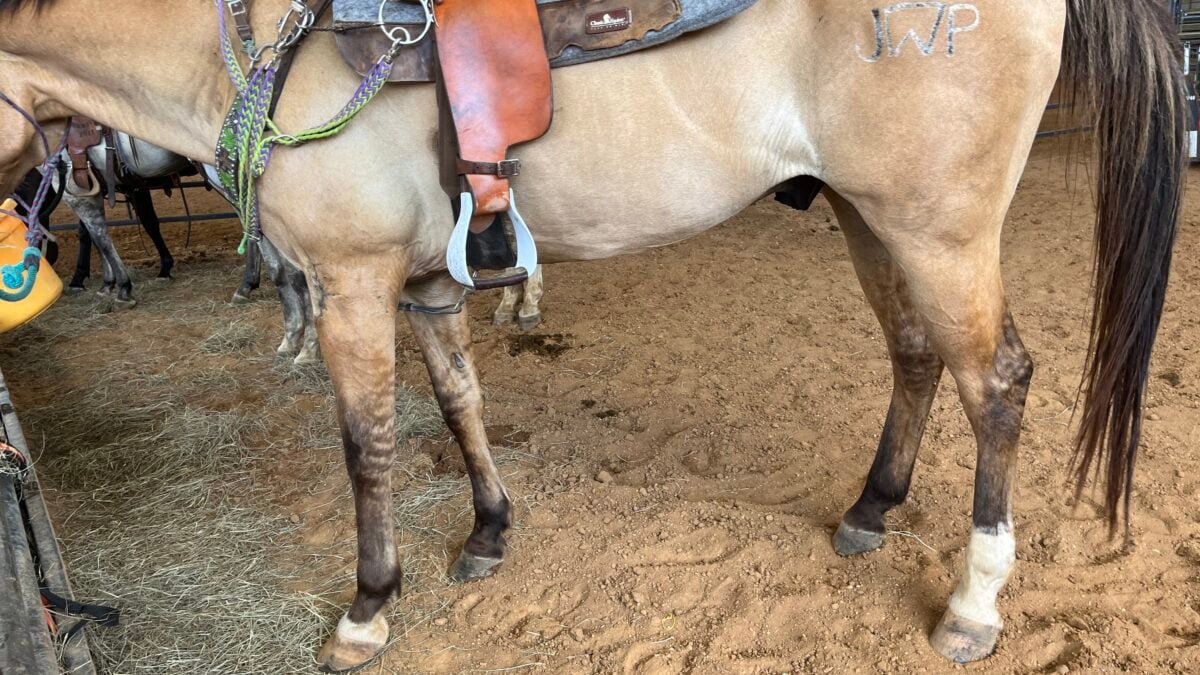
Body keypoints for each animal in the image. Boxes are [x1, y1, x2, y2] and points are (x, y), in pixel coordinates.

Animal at [0, 0, 1185, 670]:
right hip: (871, 217)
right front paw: (487, 532)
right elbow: (459, 403)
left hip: (941, 229)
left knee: (999, 383)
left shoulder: (351, 283)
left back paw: (974, 606)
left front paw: (369, 608)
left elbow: (367, 448)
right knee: (917, 357)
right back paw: (870, 508)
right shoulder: (427, 287)